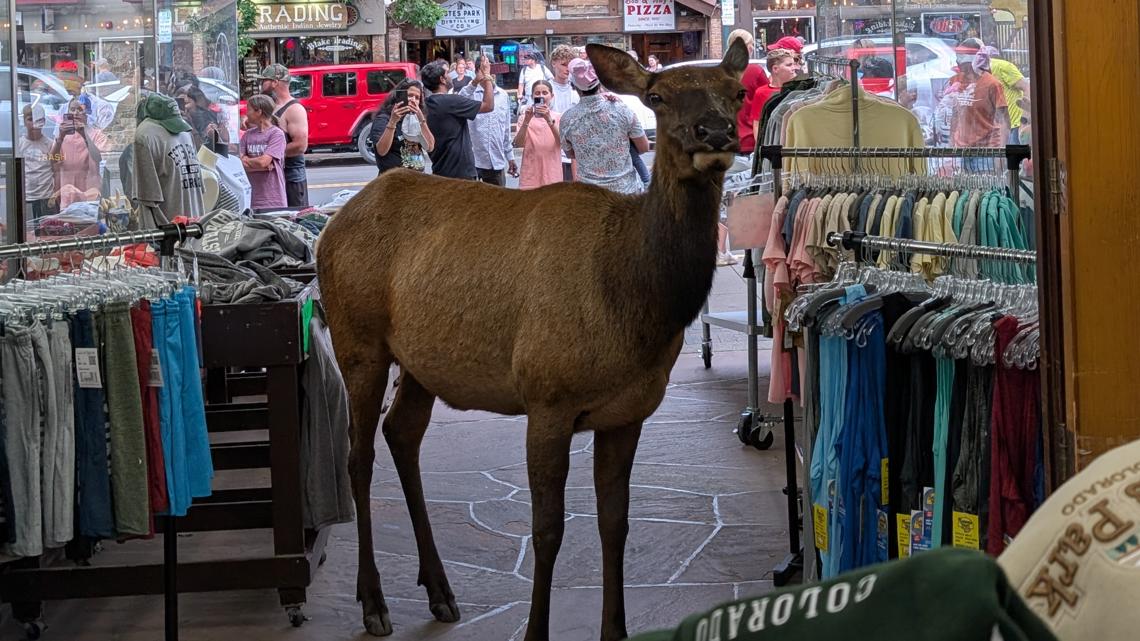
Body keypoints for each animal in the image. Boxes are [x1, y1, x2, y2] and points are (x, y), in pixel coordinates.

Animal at [316, 40, 749, 640]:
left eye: (739, 92)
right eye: (657, 97)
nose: (715, 133)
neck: (631, 303)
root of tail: (332, 224)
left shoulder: (629, 412)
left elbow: (616, 523)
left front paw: (615, 629)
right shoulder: (547, 396)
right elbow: (547, 530)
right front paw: (535, 629)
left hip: (421, 363)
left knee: (400, 434)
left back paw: (441, 591)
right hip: (358, 338)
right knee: (358, 455)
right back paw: (374, 601)